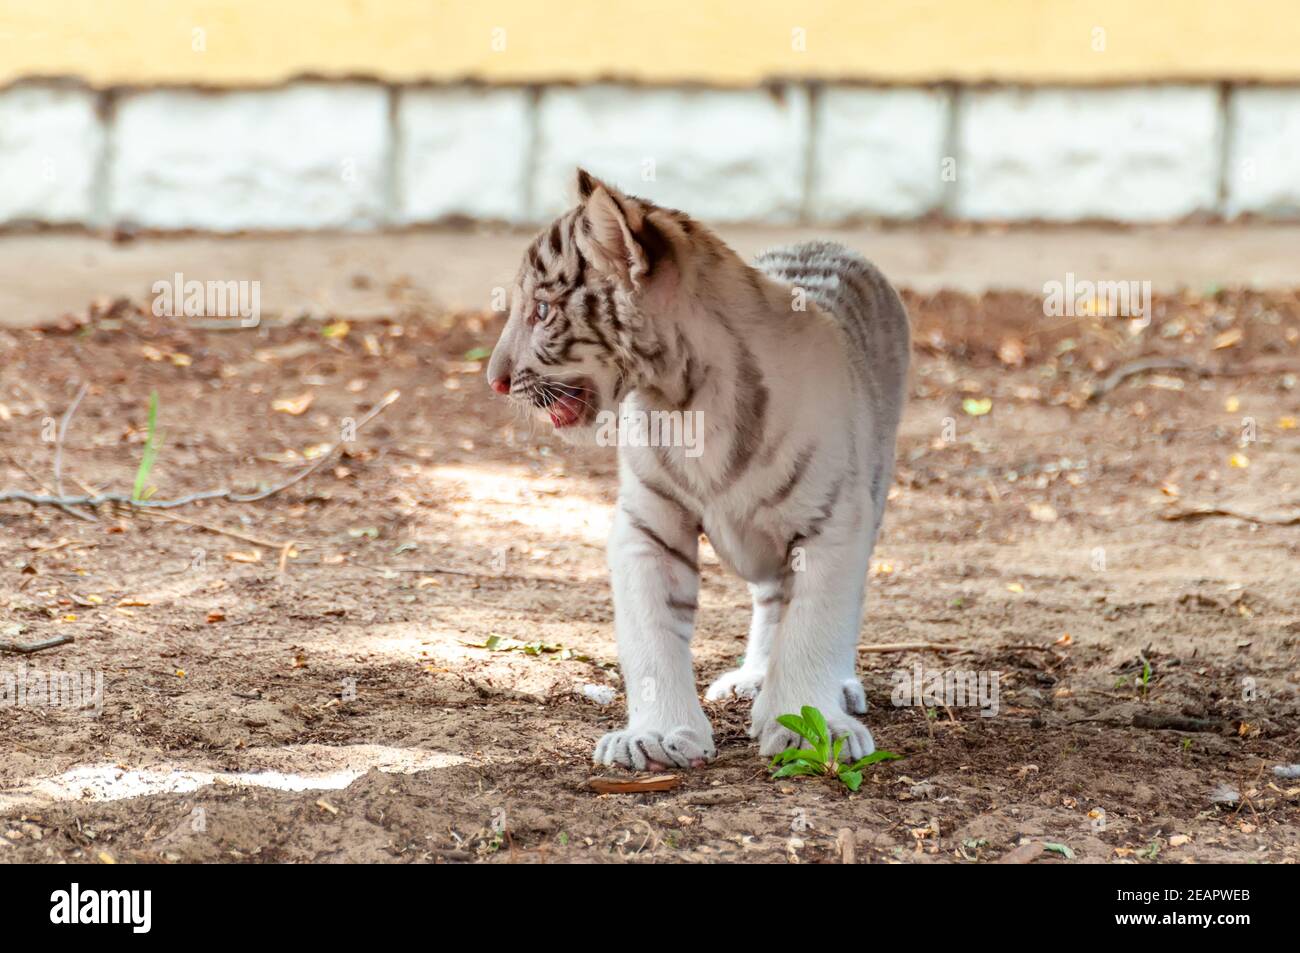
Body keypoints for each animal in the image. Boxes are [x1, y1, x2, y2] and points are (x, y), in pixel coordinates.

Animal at [486, 169, 910, 770]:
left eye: (541, 311)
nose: (495, 380)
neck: (685, 397)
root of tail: (828, 242)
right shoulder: (648, 526)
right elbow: (651, 635)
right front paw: (656, 735)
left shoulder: (832, 523)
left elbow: (813, 627)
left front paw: (812, 728)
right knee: (772, 600)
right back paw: (754, 679)